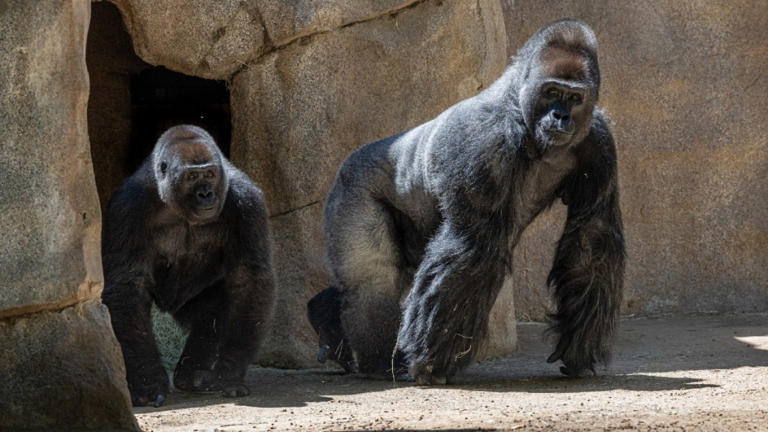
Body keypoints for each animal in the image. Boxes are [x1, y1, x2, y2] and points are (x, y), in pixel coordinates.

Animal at [101, 125, 276, 406]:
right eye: (192, 177)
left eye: (210, 174)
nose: (206, 194)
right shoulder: (126, 206)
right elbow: (127, 287)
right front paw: (147, 381)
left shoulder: (247, 201)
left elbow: (250, 279)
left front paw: (229, 371)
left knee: (214, 307)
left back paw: (193, 372)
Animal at [309, 19, 625, 384]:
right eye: (551, 92)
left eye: (574, 97)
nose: (561, 116)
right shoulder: (487, 141)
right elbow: (472, 248)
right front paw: (430, 364)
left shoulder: (599, 140)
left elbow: (592, 237)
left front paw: (578, 348)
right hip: (353, 186)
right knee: (372, 282)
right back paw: (377, 361)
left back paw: (329, 325)